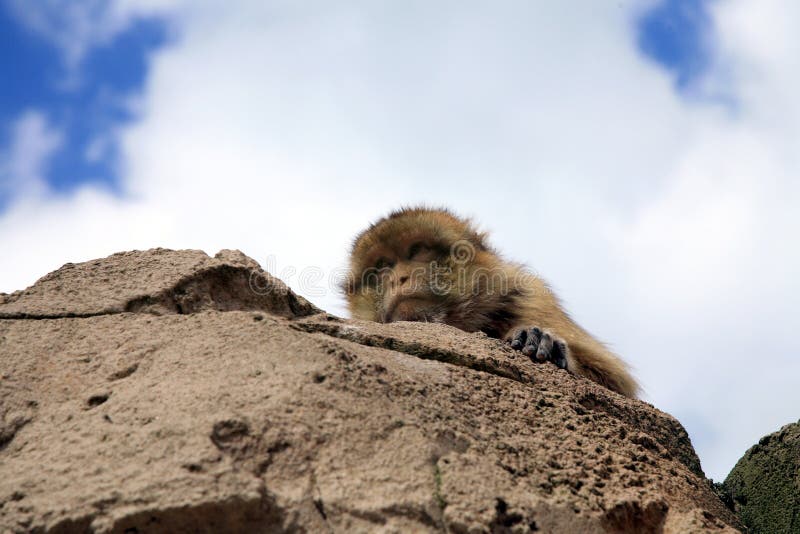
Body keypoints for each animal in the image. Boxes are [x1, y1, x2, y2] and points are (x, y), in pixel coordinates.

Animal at [342, 207, 639, 398]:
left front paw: (543, 342)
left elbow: (615, 381)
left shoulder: (529, 294)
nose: (398, 278)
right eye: (383, 266)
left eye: (417, 250)